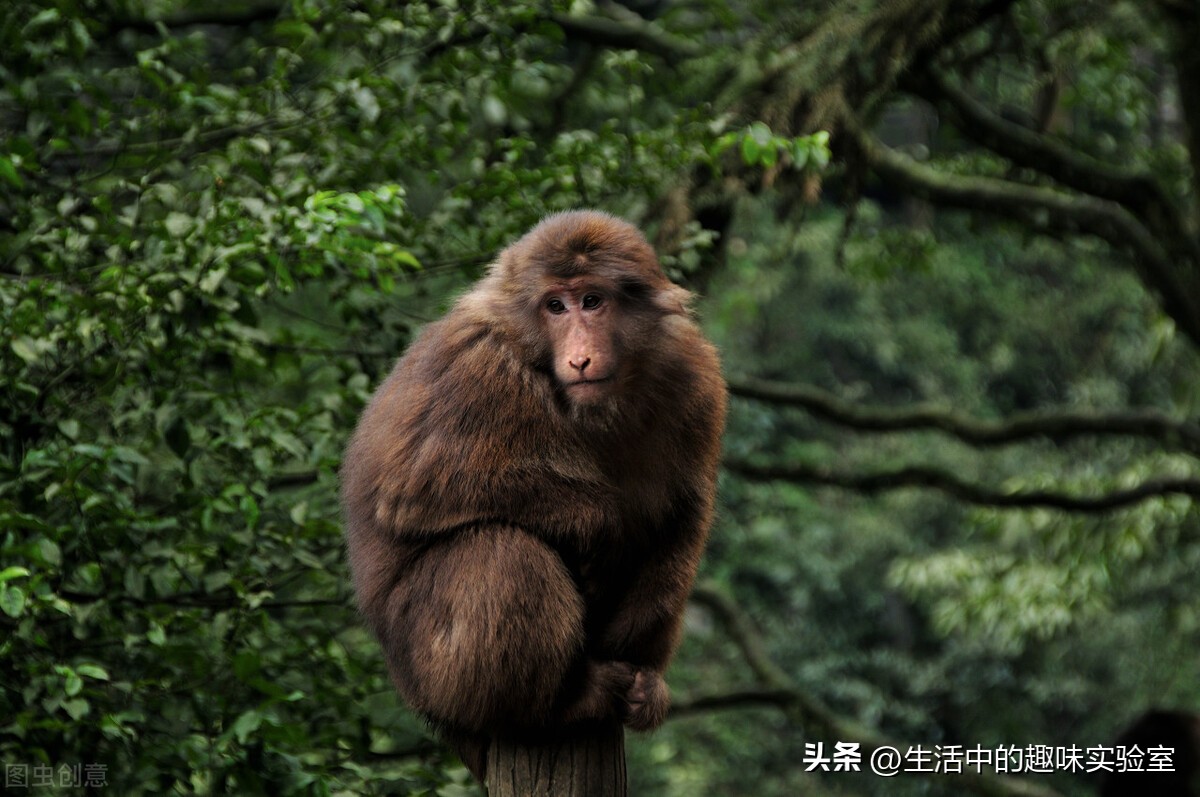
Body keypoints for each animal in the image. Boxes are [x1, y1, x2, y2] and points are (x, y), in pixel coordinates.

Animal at [340, 210, 726, 778]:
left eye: (592, 300)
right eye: (555, 306)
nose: (581, 357)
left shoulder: (694, 374)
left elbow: (685, 511)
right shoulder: (481, 371)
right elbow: (417, 488)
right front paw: (597, 522)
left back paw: (638, 684)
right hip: (426, 667)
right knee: (501, 551)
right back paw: (555, 706)